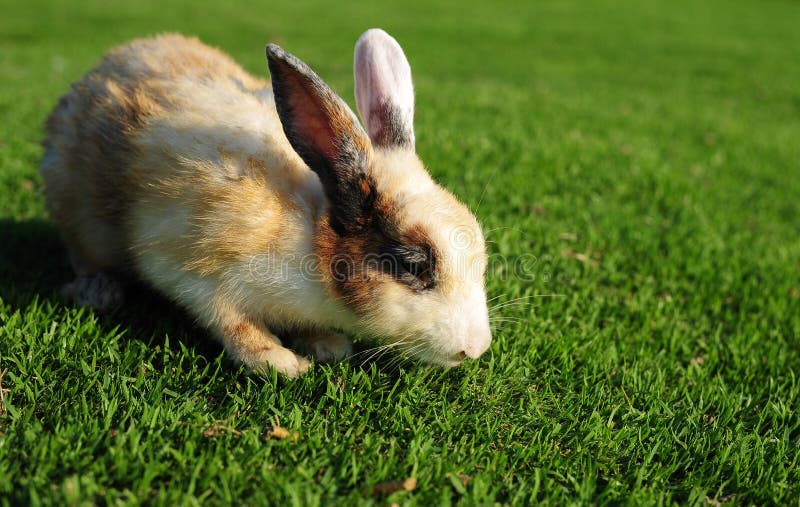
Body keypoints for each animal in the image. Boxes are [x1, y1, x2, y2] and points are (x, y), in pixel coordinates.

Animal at [39, 29, 492, 377]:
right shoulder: (195, 271)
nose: (475, 348)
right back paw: (99, 292)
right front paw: (281, 363)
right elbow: (235, 324)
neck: (310, 236)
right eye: (414, 266)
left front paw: (327, 344)